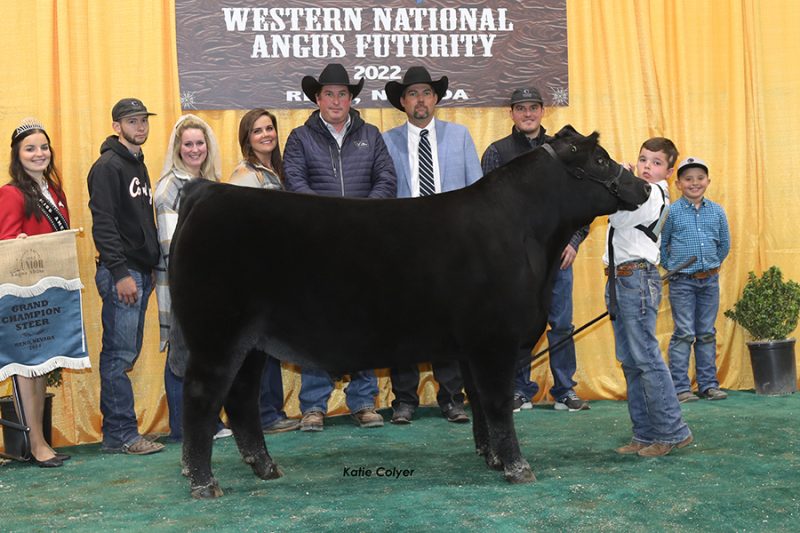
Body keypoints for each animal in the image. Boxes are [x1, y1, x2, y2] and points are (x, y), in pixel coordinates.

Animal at [169, 125, 651, 498]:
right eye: (602, 160)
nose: (644, 187)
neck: (527, 235)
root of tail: (207, 190)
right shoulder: (493, 339)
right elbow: (497, 402)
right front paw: (517, 467)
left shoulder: (470, 347)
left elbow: (478, 402)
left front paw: (492, 457)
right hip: (215, 337)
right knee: (201, 398)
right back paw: (202, 482)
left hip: (250, 343)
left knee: (240, 398)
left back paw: (264, 467)